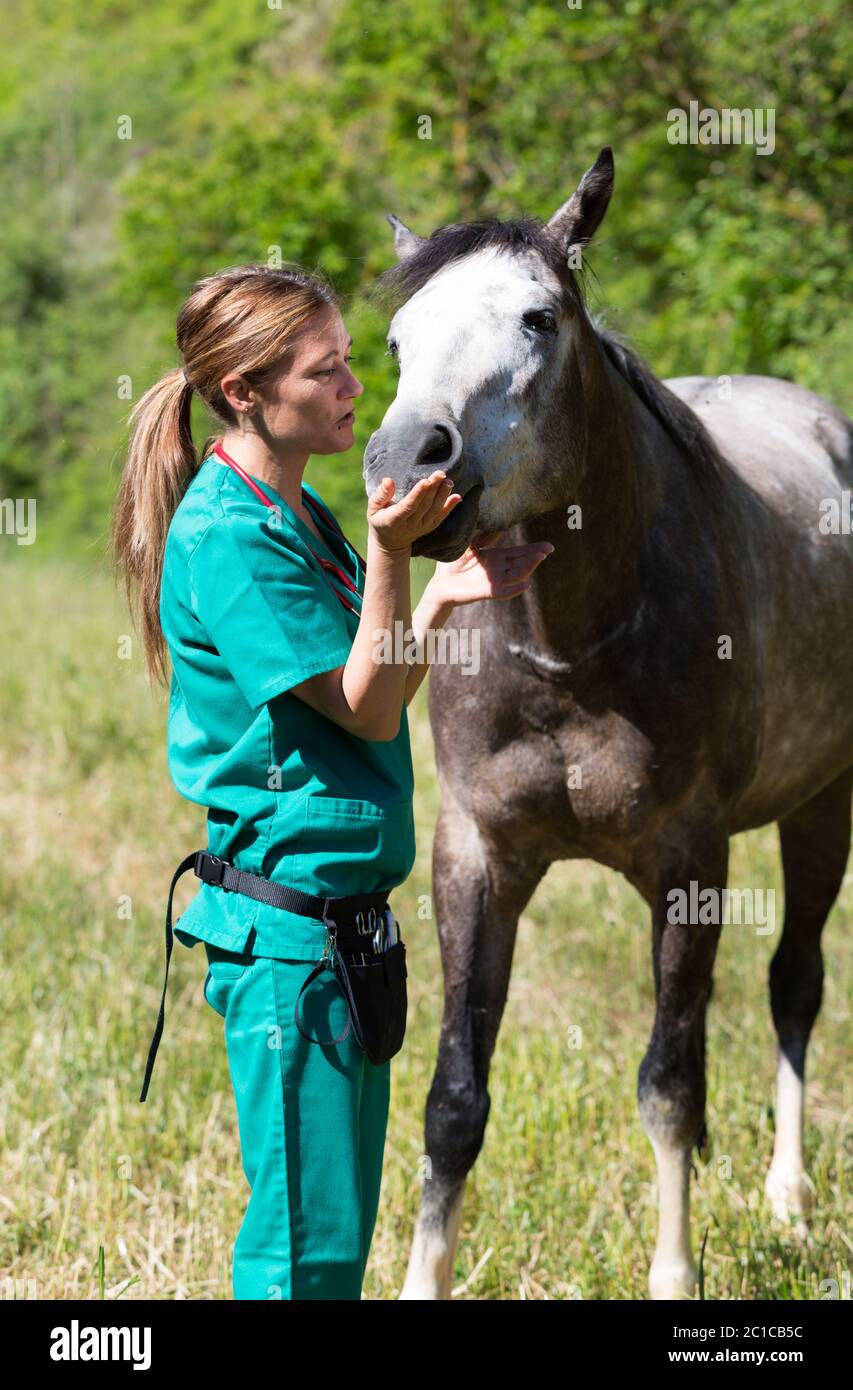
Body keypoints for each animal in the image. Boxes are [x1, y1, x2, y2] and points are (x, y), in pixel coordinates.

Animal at [362, 148, 853, 1299]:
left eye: (538, 318)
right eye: (398, 339)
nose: (406, 461)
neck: (568, 648)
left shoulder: (688, 856)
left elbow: (665, 1083)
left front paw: (675, 1271)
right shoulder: (477, 854)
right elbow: (453, 1100)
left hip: (823, 804)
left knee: (792, 987)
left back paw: (788, 1195)